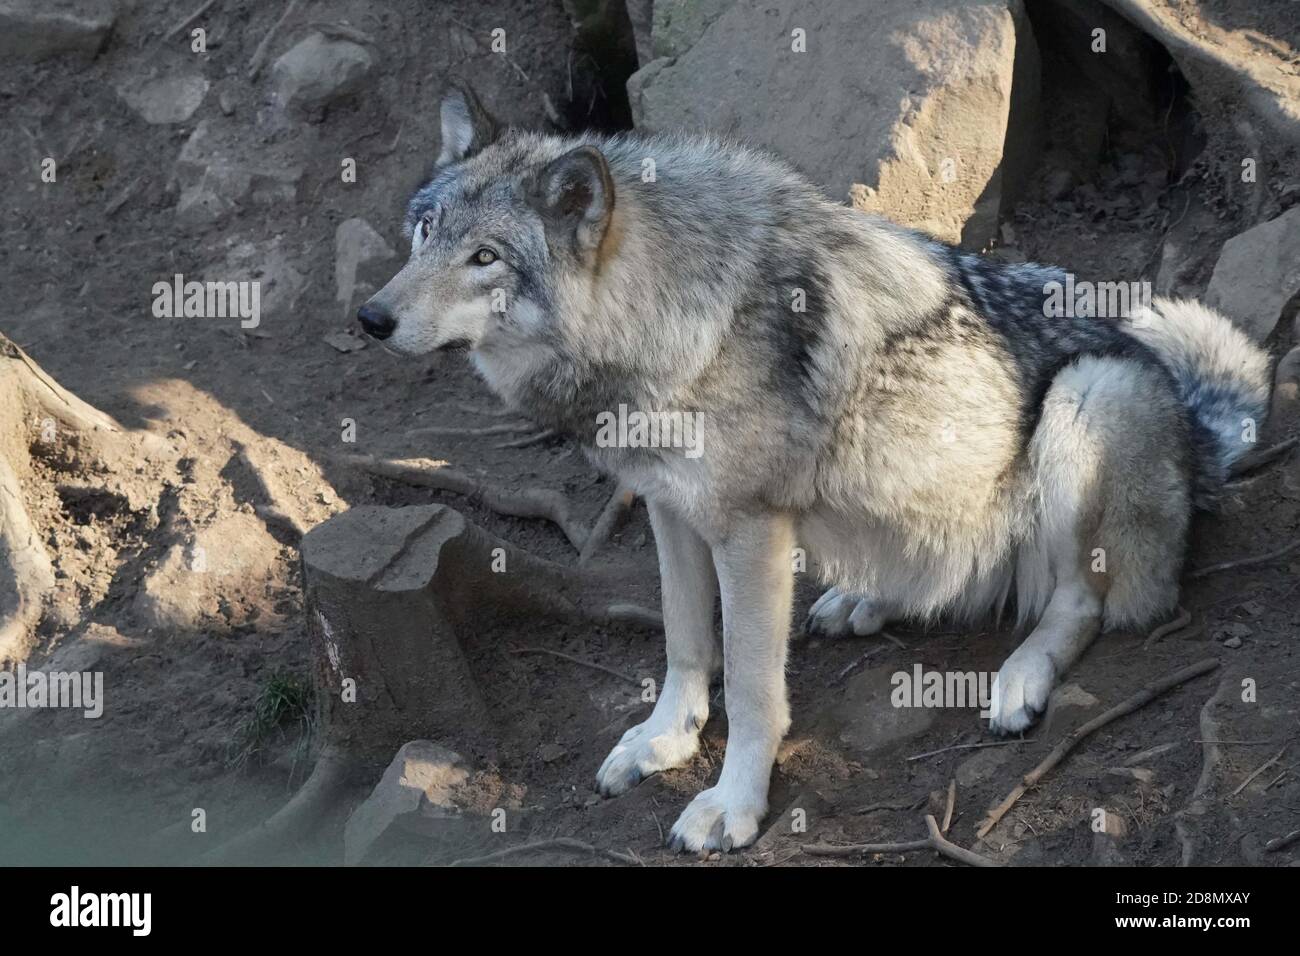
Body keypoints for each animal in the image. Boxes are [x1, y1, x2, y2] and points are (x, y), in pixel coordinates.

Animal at [357, 83, 1271, 852]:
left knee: (1079, 603)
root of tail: (1198, 441)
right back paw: (863, 601)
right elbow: (685, 643)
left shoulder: (749, 531)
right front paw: (663, 742)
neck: (672, 321)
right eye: (425, 231)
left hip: (1085, 398)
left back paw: (1019, 679)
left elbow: (753, 689)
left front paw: (731, 805)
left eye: (486, 258)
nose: (370, 317)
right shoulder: (668, 508)